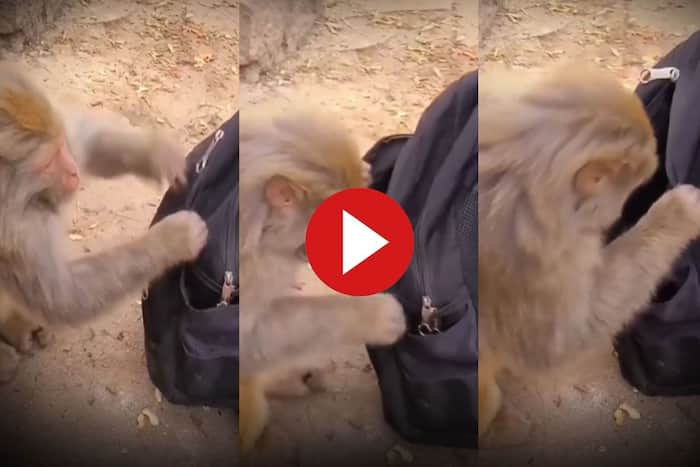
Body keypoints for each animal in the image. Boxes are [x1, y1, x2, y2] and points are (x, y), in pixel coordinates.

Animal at [0, 61, 208, 382]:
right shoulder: (17, 233)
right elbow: (64, 298)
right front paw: (174, 238)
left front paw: (157, 156)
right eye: (48, 162)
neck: (27, 199)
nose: (73, 170)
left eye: (61, 147)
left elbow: (86, 141)